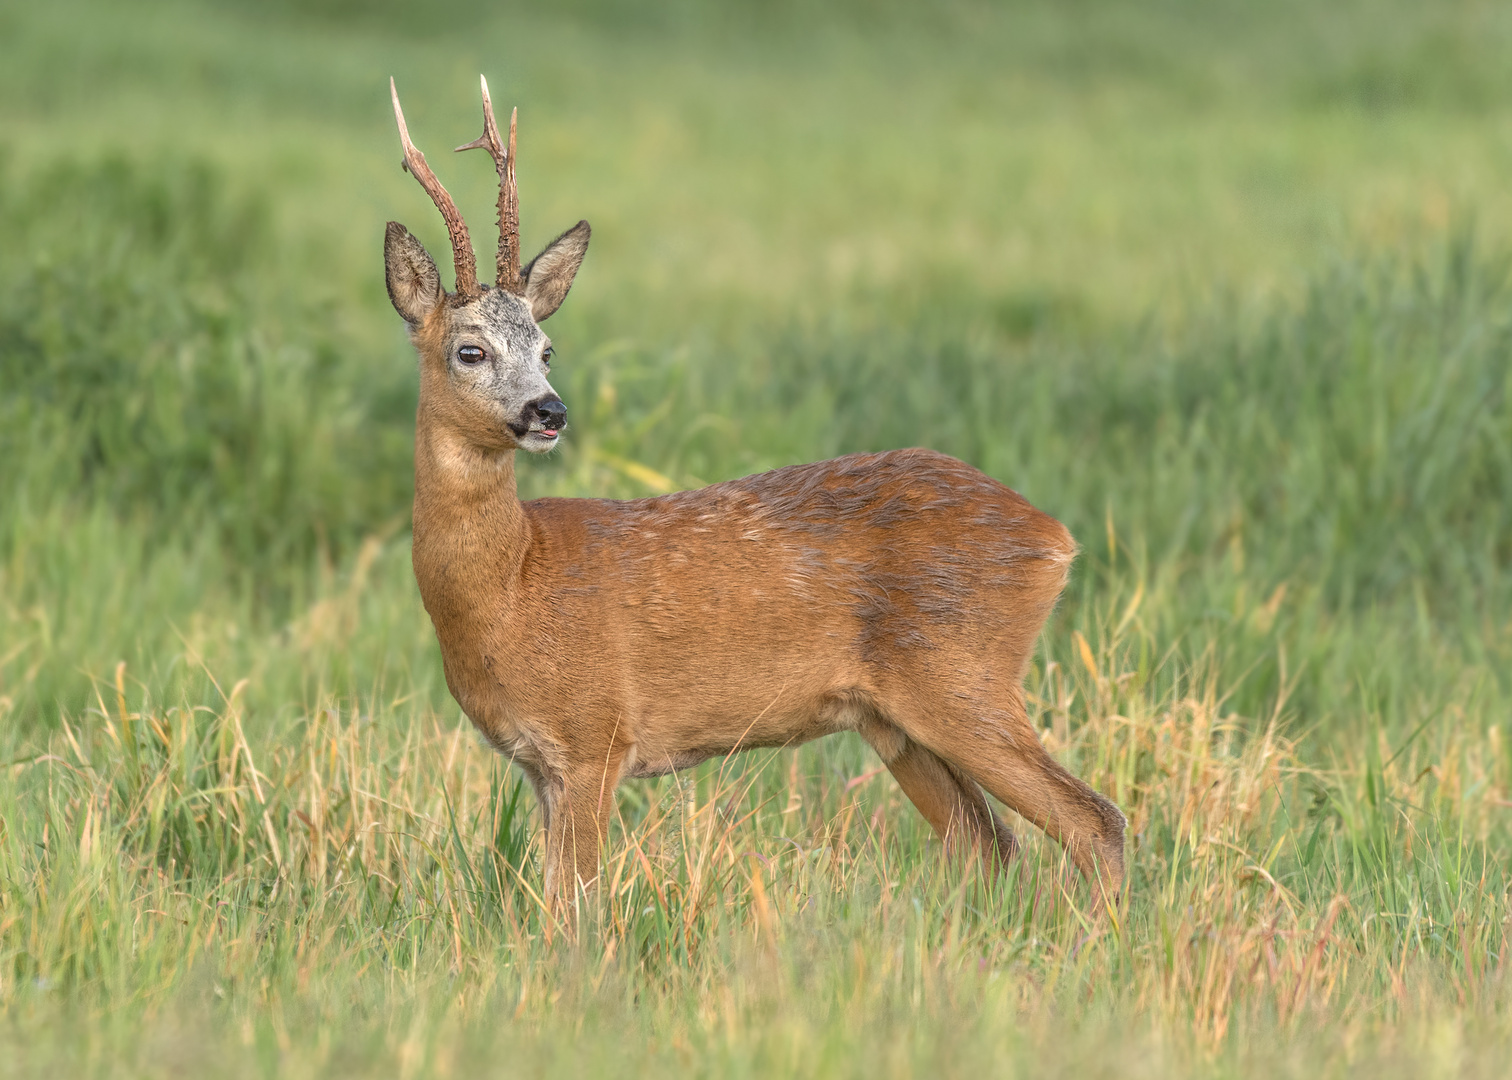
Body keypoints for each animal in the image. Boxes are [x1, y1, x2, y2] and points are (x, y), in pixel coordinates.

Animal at [384, 77, 1130, 907]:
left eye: (546, 348)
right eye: (470, 350)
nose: (549, 411)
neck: (511, 583)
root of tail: (1055, 538)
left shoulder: (593, 735)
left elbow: (578, 904)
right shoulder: (541, 764)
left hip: (965, 675)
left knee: (1092, 819)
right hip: (892, 719)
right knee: (986, 840)